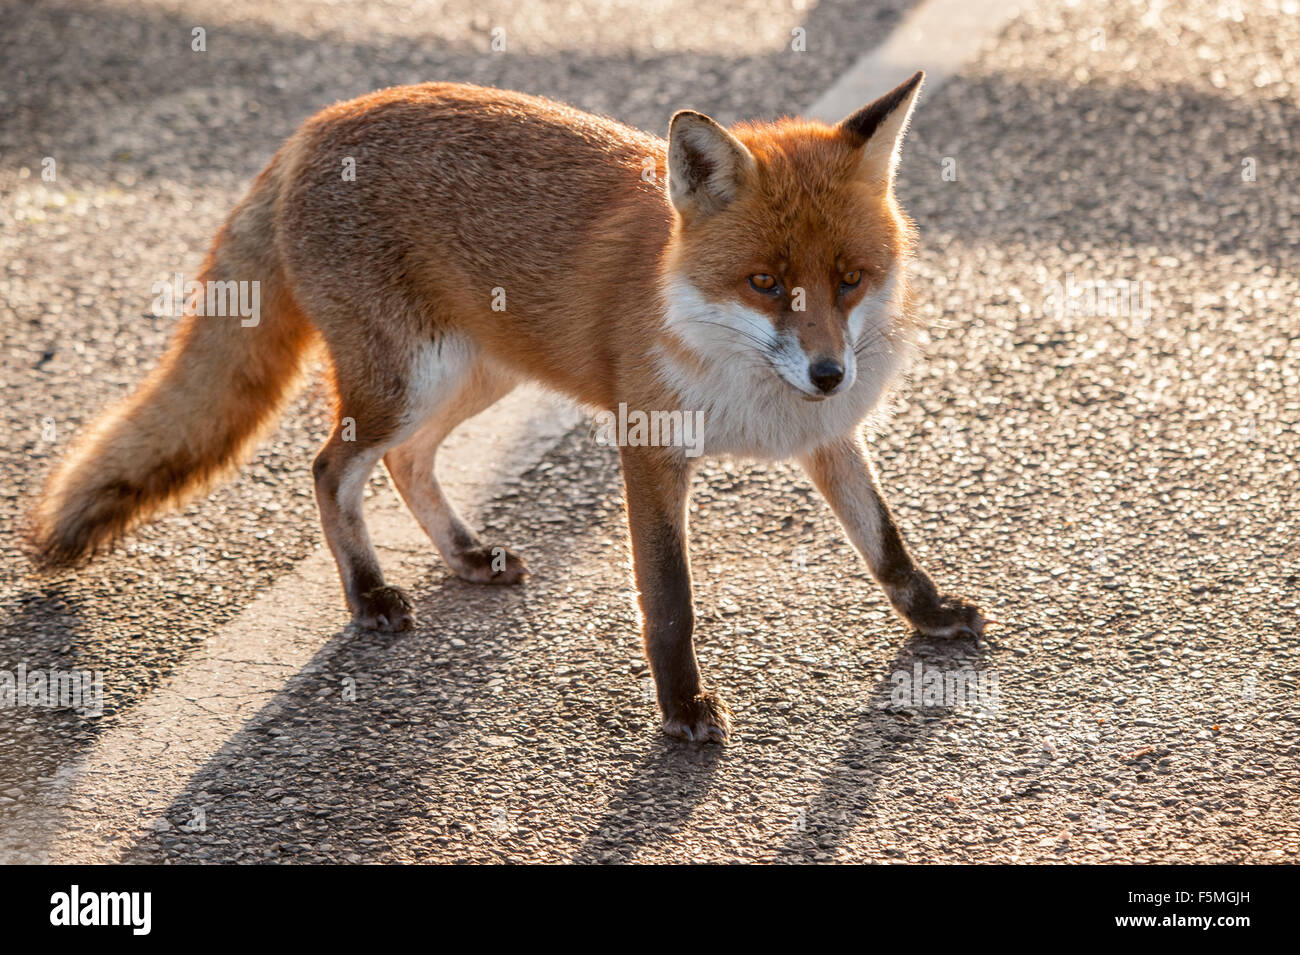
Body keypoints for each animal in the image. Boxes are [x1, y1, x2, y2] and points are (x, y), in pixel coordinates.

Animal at [32, 72, 986, 743]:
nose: (829, 371)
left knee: (408, 462)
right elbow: (669, 600)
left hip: (476, 378)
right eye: (764, 283)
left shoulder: (829, 436)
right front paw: (681, 709)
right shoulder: (649, 446)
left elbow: (886, 543)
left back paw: (465, 555)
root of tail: (319, 123)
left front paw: (931, 614)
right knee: (332, 467)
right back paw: (368, 593)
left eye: (849, 279)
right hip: (406, 381)